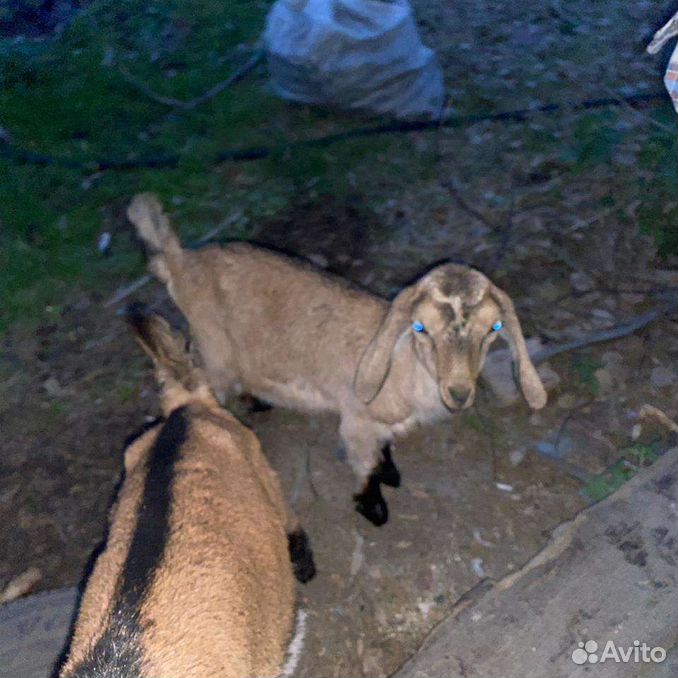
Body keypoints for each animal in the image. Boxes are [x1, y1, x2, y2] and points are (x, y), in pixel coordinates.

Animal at [128, 193, 547, 527]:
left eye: (493, 327)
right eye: (420, 327)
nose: (459, 393)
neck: (402, 372)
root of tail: (180, 262)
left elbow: (383, 451)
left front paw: (390, 471)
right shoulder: (356, 419)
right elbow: (365, 467)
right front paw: (372, 507)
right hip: (215, 348)